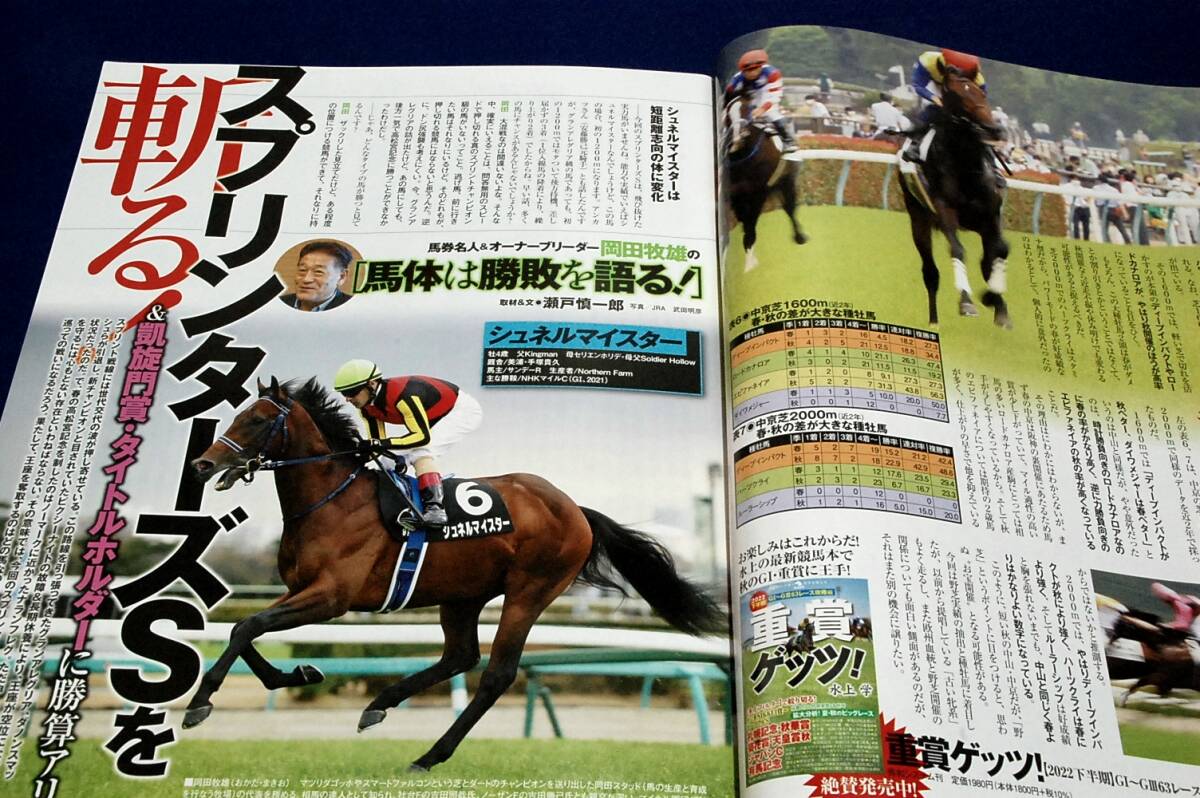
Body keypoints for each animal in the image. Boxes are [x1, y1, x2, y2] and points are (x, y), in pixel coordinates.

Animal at [186, 377, 726, 771]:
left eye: (257, 420)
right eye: (236, 415)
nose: (201, 464)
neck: (331, 502)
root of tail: (576, 509)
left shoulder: (331, 596)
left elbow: (248, 626)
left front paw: (199, 704)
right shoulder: (298, 590)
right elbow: (243, 629)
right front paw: (295, 672)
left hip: (529, 591)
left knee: (496, 673)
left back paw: (429, 755)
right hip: (463, 595)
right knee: (459, 656)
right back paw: (381, 703)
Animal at [723, 95, 806, 272]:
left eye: (748, 109)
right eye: (728, 115)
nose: (738, 137)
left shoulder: (759, 191)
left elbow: (750, 225)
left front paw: (749, 264)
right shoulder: (736, 192)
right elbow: (744, 220)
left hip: (786, 182)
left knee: (790, 208)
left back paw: (799, 237)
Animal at [899, 68, 1012, 329]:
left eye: (982, 93)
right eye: (958, 96)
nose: (994, 129)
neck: (966, 168)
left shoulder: (990, 215)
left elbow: (999, 251)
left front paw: (996, 304)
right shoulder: (944, 210)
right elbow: (958, 250)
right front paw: (967, 303)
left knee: (986, 260)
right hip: (918, 218)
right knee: (930, 272)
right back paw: (934, 321)